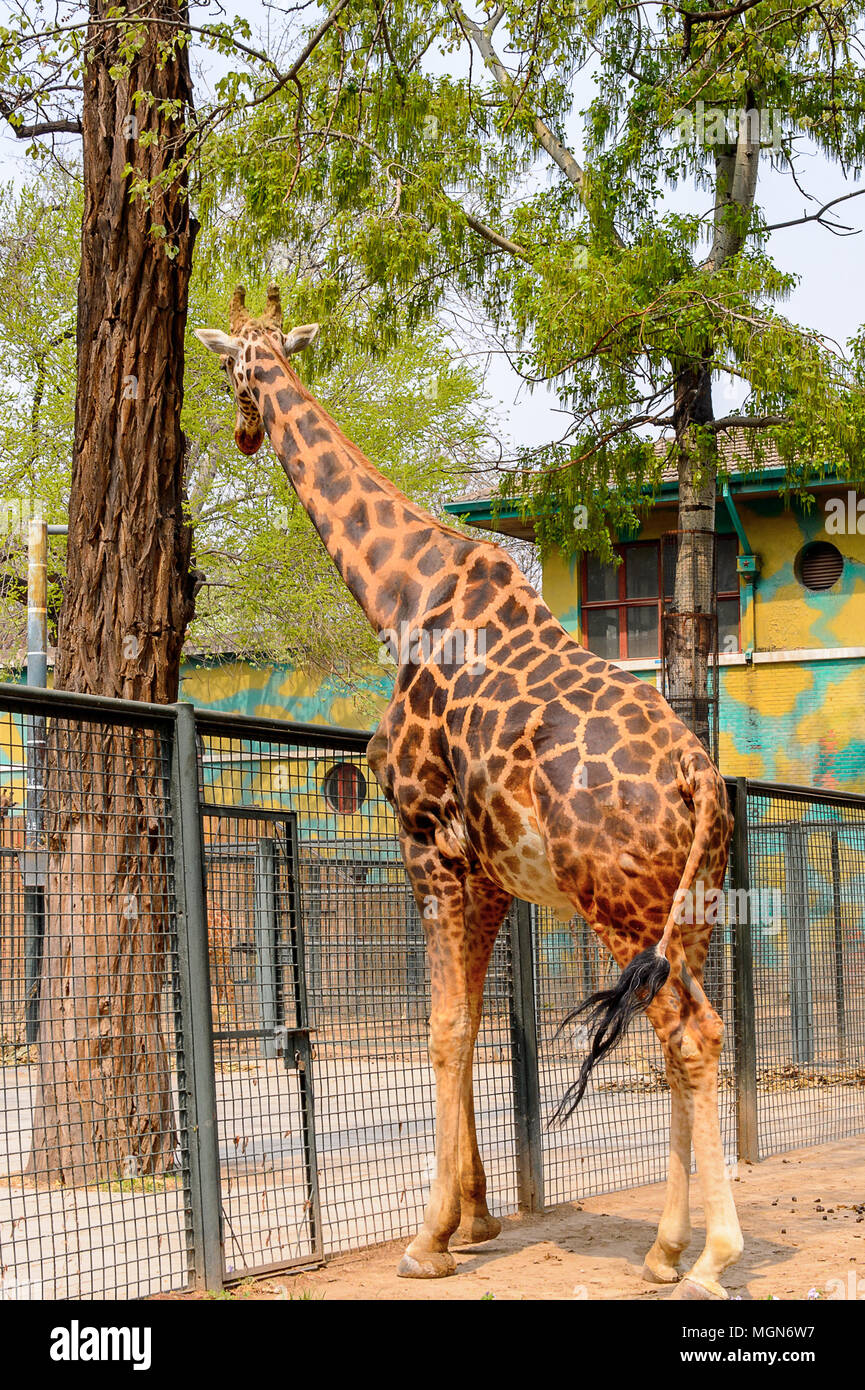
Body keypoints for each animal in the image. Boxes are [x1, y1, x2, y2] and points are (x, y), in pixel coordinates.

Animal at [196, 285, 743, 1300]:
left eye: (228, 365)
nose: (246, 431)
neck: (397, 592)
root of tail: (698, 778)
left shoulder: (425, 837)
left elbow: (444, 1029)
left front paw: (428, 1239)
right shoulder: (486, 871)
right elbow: (476, 1023)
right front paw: (476, 1217)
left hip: (617, 900)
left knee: (686, 1036)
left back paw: (707, 1261)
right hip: (684, 909)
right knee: (696, 1032)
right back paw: (663, 1249)